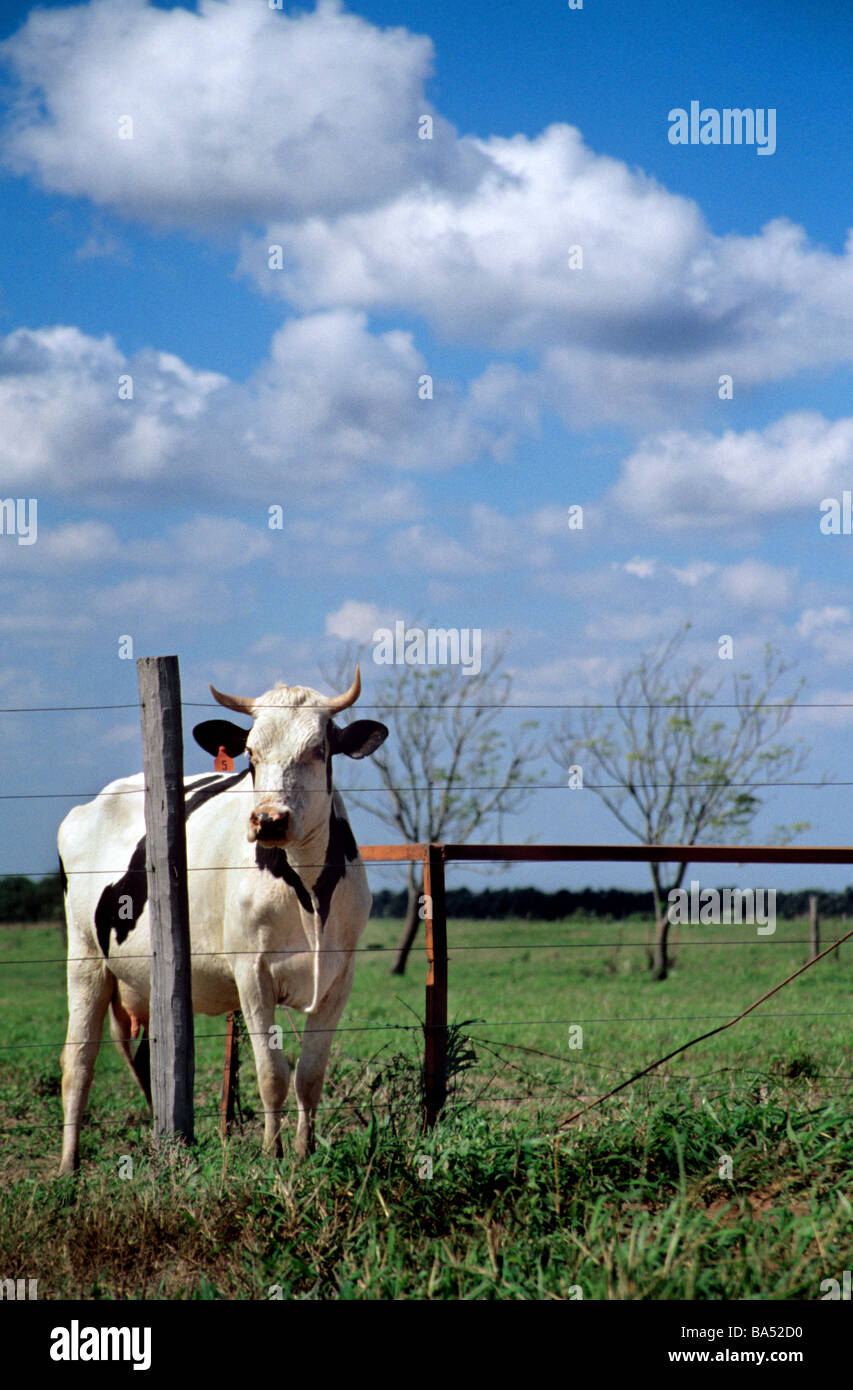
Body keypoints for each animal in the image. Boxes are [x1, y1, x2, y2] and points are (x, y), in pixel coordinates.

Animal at [57, 667, 388, 1175]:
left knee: (147, 1062)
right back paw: (68, 1168)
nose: (269, 820)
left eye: (319, 749)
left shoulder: (339, 975)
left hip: (145, 980)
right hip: (86, 956)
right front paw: (272, 1153)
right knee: (78, 1063)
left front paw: (304, 1153)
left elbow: (310, 1074)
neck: (308, 889)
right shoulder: (252, 972)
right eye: (251, 752)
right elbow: (272, 1073)